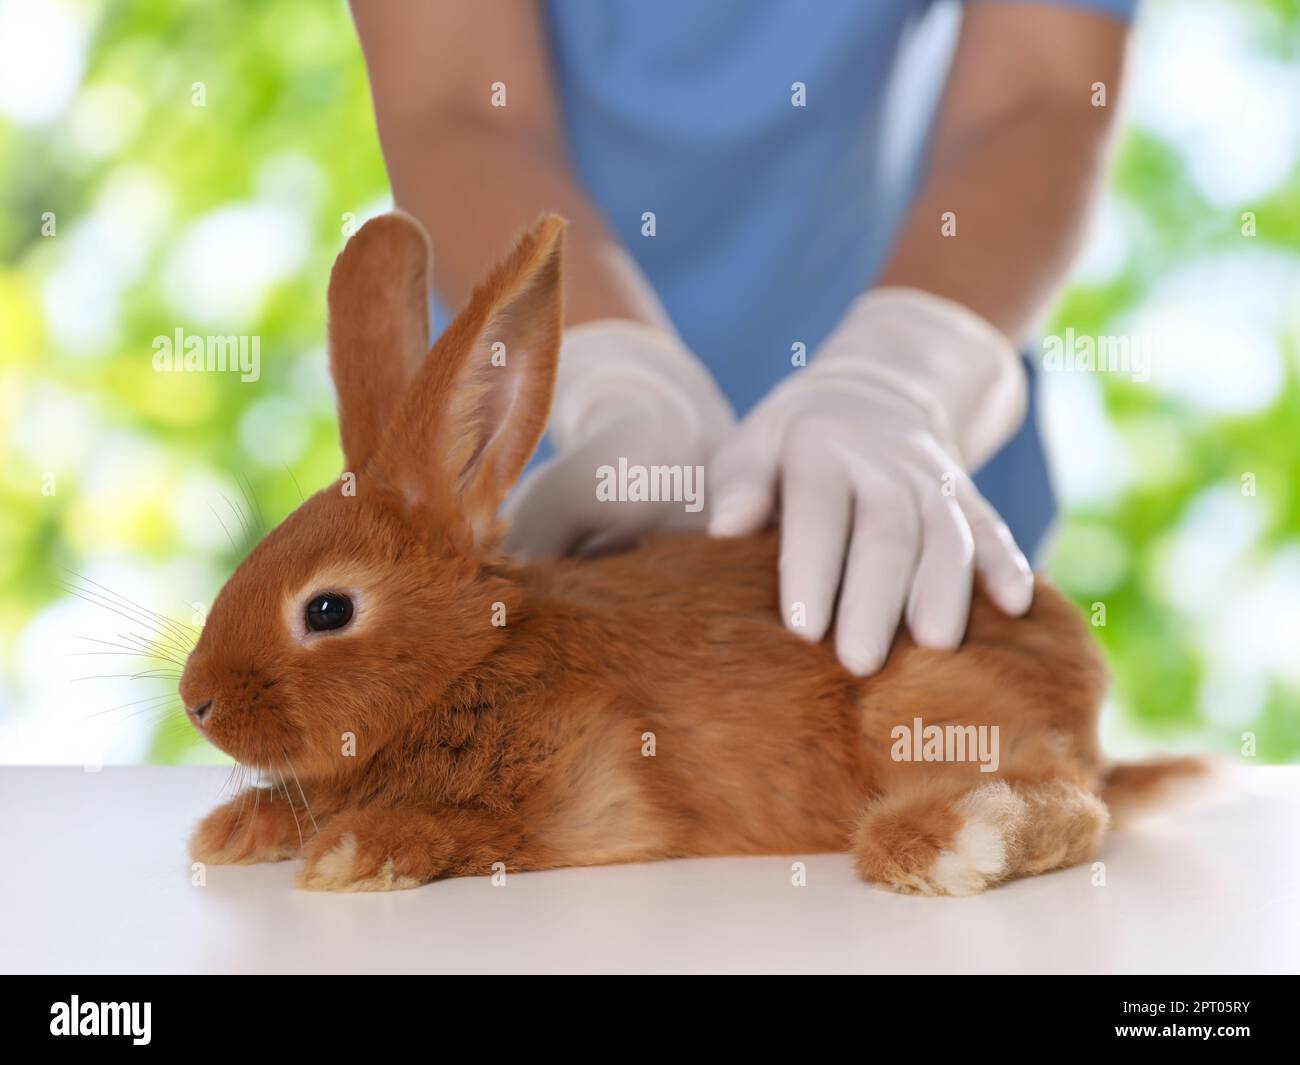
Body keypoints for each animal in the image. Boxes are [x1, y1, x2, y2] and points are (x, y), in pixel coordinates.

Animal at [181, 212, 1203, 894]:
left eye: (327, 609)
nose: (196, 703)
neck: (471, 658)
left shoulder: (587, 802)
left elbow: (471, 827)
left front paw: (358, 851)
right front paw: (232, 831)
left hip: (920, 698)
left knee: (1075, 801)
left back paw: (949, 836)